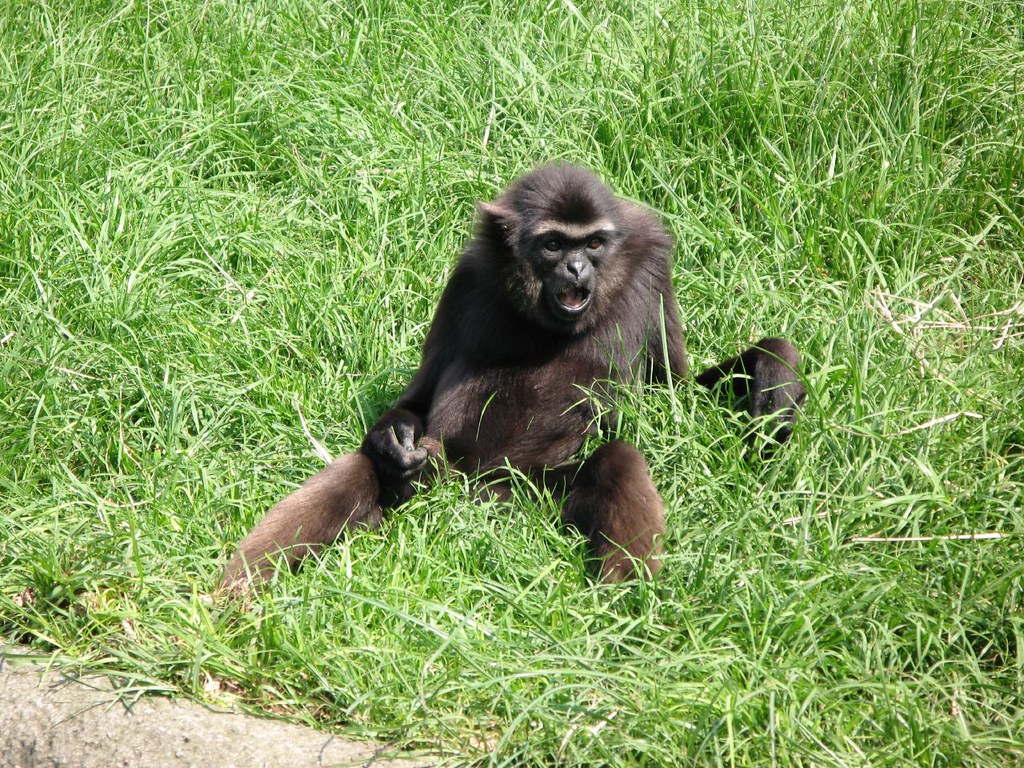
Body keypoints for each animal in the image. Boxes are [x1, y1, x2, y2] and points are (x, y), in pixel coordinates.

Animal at [219, 164, 804, 591]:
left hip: (537, 492)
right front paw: (392, 436)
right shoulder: (466, 277)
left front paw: (774, 368)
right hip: (446, 475)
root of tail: (487, 496)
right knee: (369, 467)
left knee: (616, 459)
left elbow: (674, 392)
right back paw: (239, 591)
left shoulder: (652, 265)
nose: (576, 269)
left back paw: (622, 606)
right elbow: (416, 401)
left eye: (593, 244)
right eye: (553, 244)